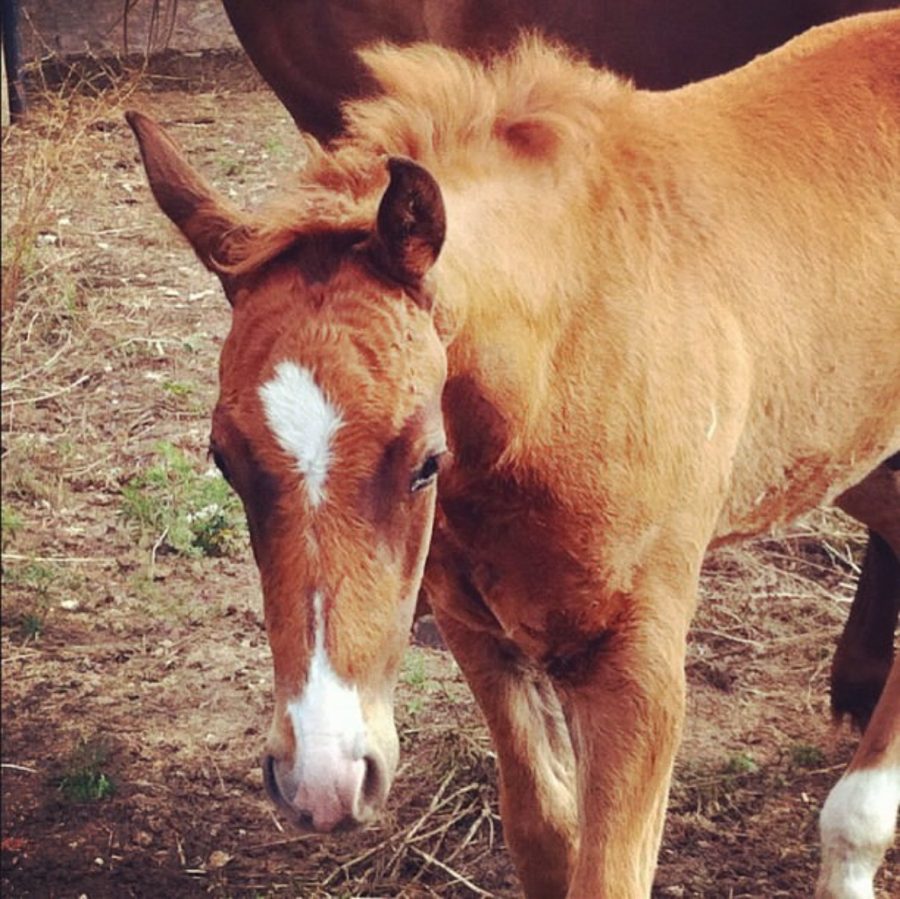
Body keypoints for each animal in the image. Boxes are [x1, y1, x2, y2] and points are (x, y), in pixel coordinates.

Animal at [127, 10, 900, 897]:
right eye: (225, 459)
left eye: (424, 459)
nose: (321, 778)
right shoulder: (474, 625)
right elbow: (542, 833)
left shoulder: (638, 668)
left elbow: (605, 871)